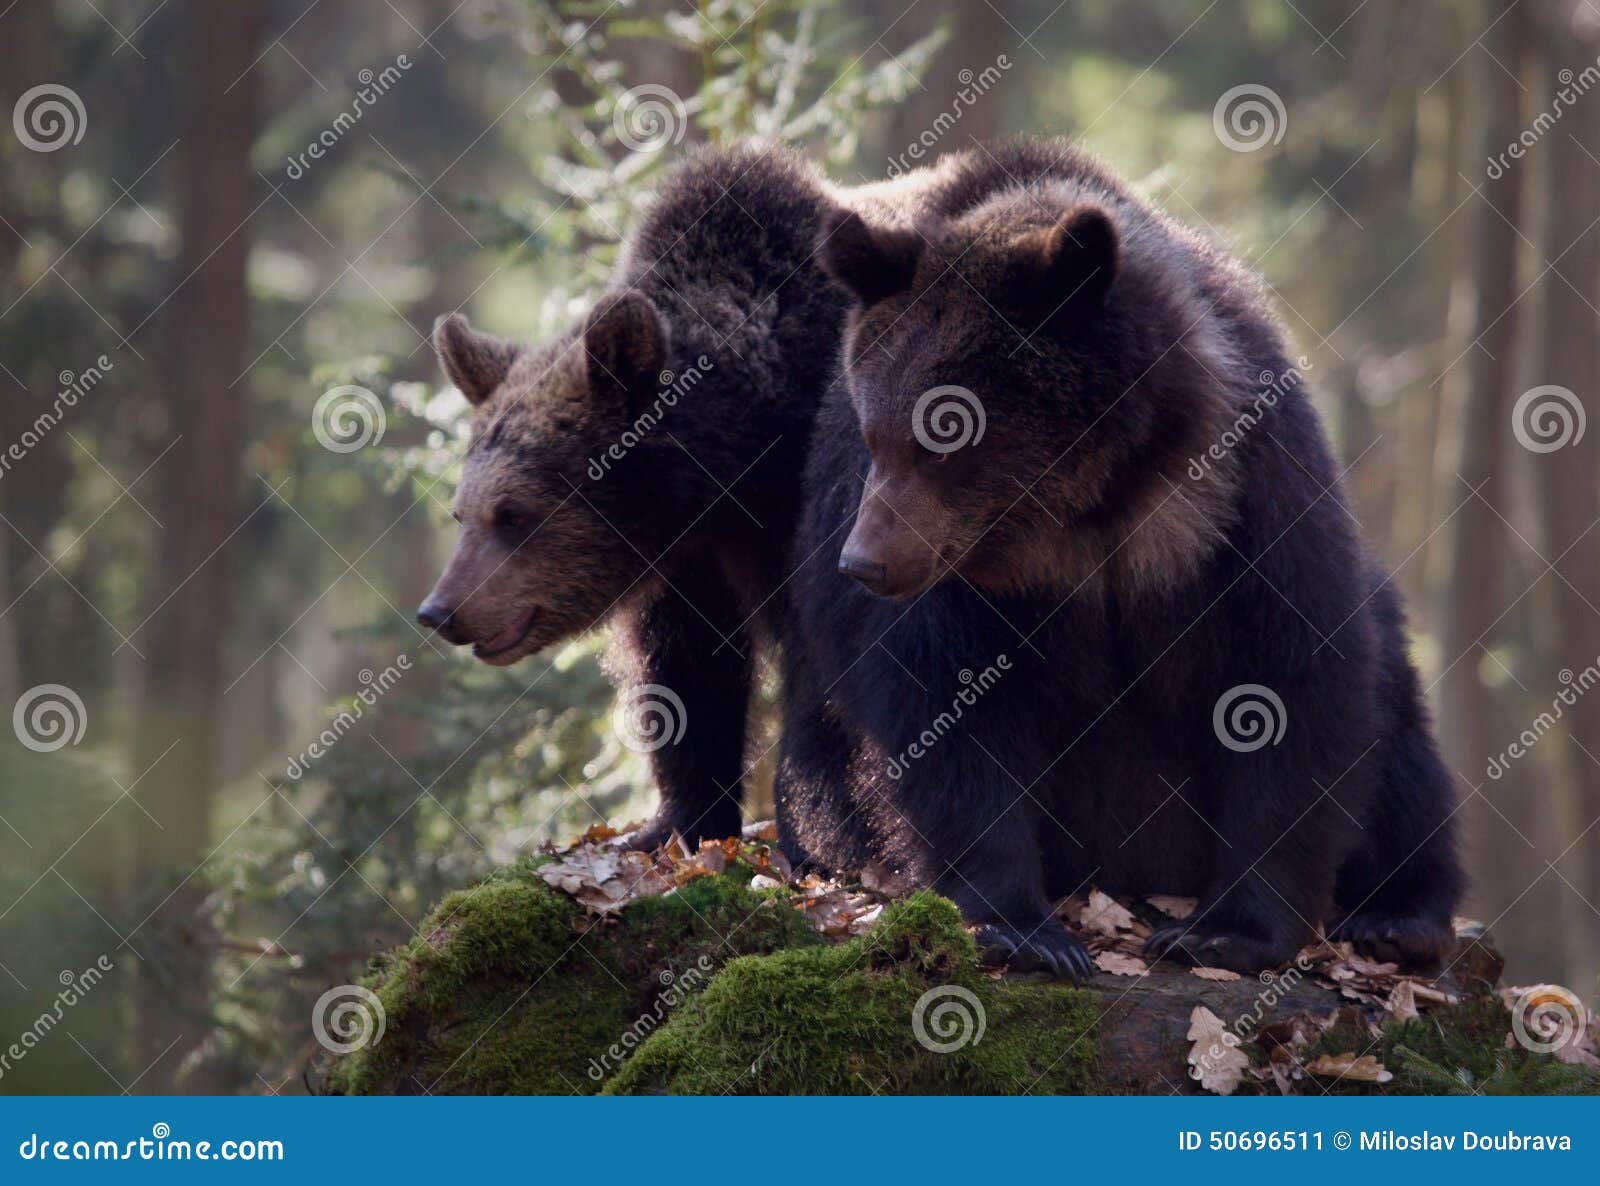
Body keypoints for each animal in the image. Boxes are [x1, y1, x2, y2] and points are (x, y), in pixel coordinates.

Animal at [773, 138, 1463, 980]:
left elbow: (1286, 675)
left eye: (942, 436)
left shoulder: (1238, 493)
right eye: (875, 432)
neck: (1087, 502)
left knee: (1399, 736)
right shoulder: (961, 577)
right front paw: (1023, 927)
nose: (864, 564)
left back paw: (1400, 915)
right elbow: (946, 703)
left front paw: (1225, 930)